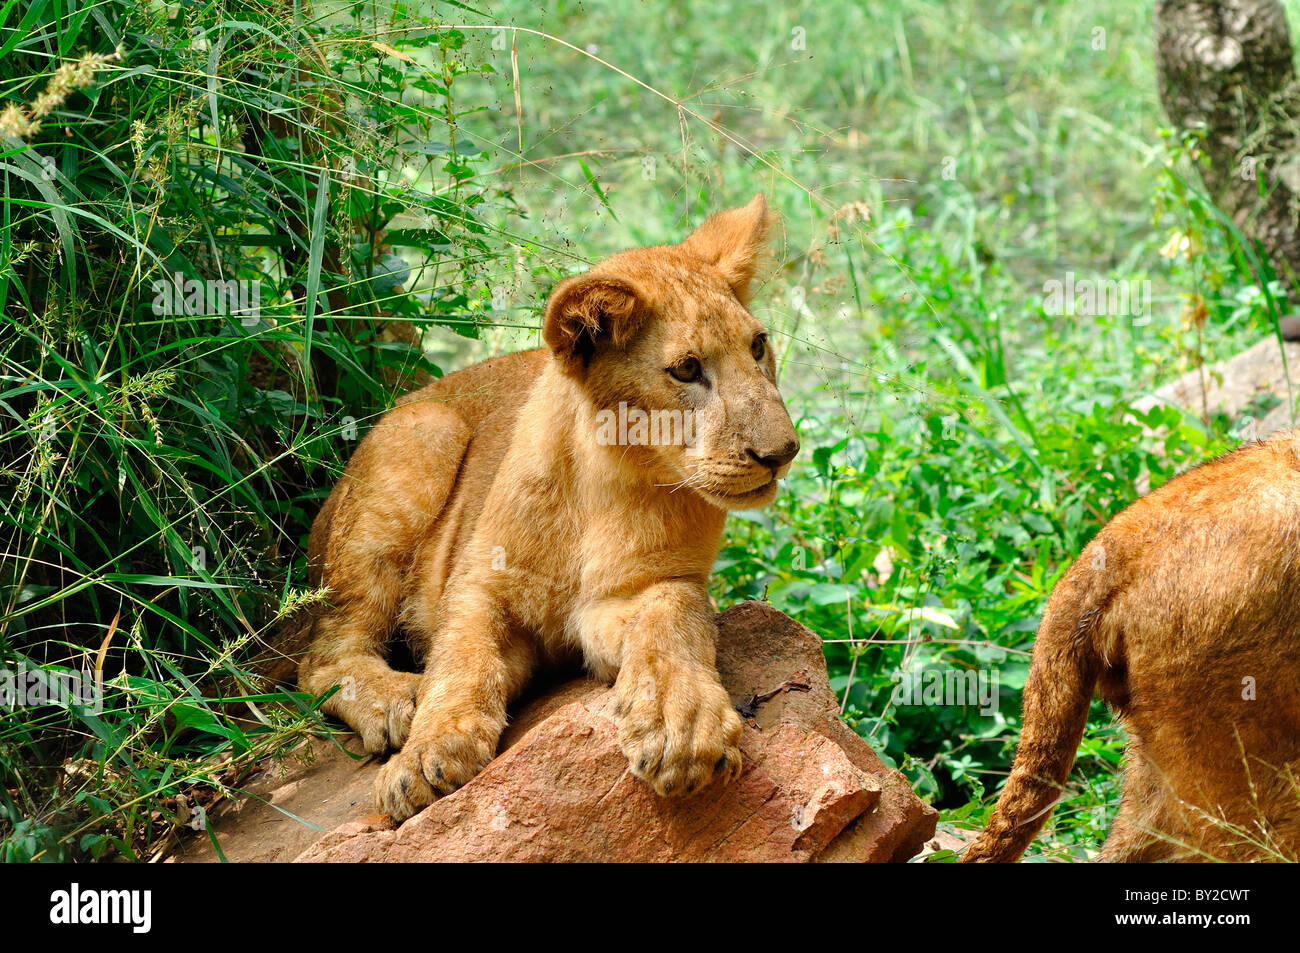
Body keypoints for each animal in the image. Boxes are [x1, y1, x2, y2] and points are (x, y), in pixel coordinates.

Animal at [294, 195, 799, 821]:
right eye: (686, 369)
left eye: (757, 346)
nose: (783, 453)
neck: (611, 482)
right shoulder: (476, 587)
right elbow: (462, 663)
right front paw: (423, 760)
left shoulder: (633, 594)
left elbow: (674, 617)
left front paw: (680, 724)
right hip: (423, 433)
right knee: (321, 656)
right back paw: (397, 702)